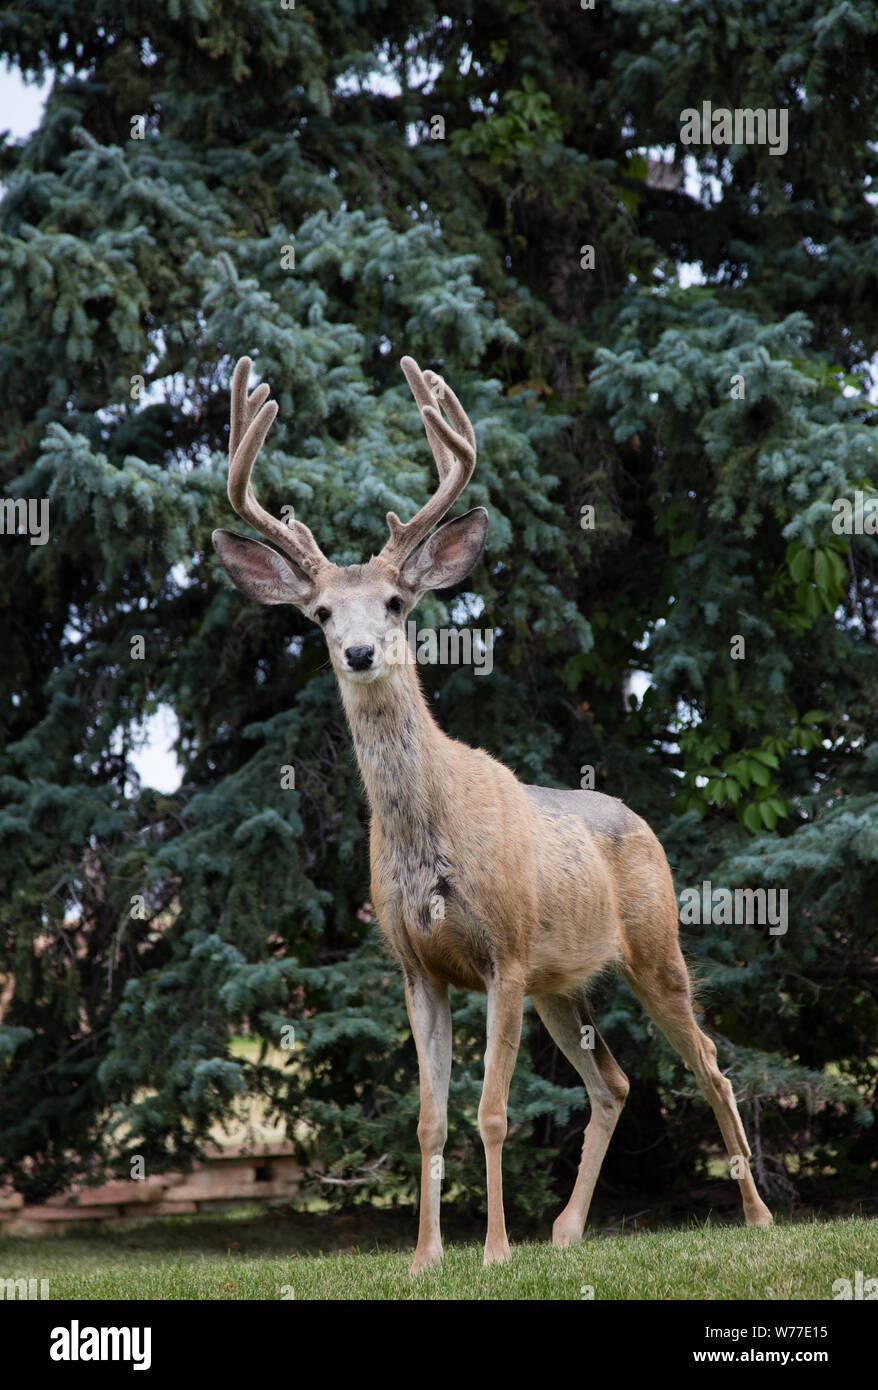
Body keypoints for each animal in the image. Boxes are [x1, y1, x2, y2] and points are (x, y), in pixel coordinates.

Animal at [212, 355, 774, 1273]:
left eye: (397, 603)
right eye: (322, 612)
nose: (359, 652)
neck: (428, 833)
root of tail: (638, 820)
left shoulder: (504, 955)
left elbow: (494, 1112)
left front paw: (495, 1252)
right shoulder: (418, 968)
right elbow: (430, 1118)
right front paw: (425, 1258)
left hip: (654, 946)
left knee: (710, 1060)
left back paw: (757, 1215)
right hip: (561, 986)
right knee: (615, 1083)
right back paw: (569, 1230)